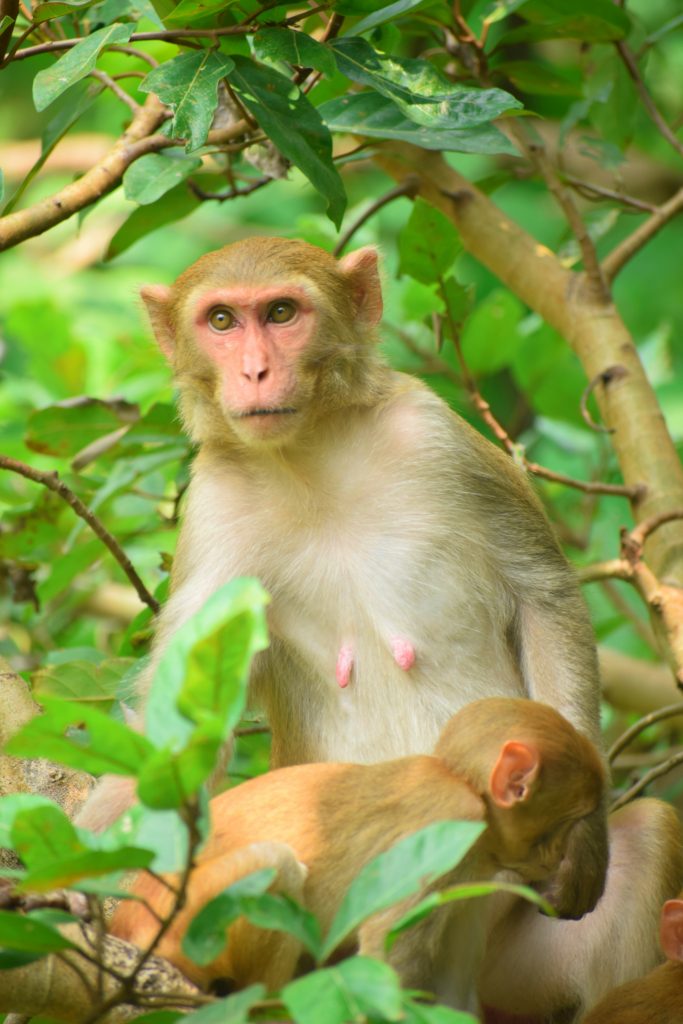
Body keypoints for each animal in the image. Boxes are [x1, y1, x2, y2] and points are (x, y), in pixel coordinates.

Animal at [110, 697, 606, 1012]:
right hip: (190, 925)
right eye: (566, 824)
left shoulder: (468, 877)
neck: (461, 784)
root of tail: (127, 923)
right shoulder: (448, 824)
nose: (558, 858)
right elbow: (389, 949)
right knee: (277, 865)